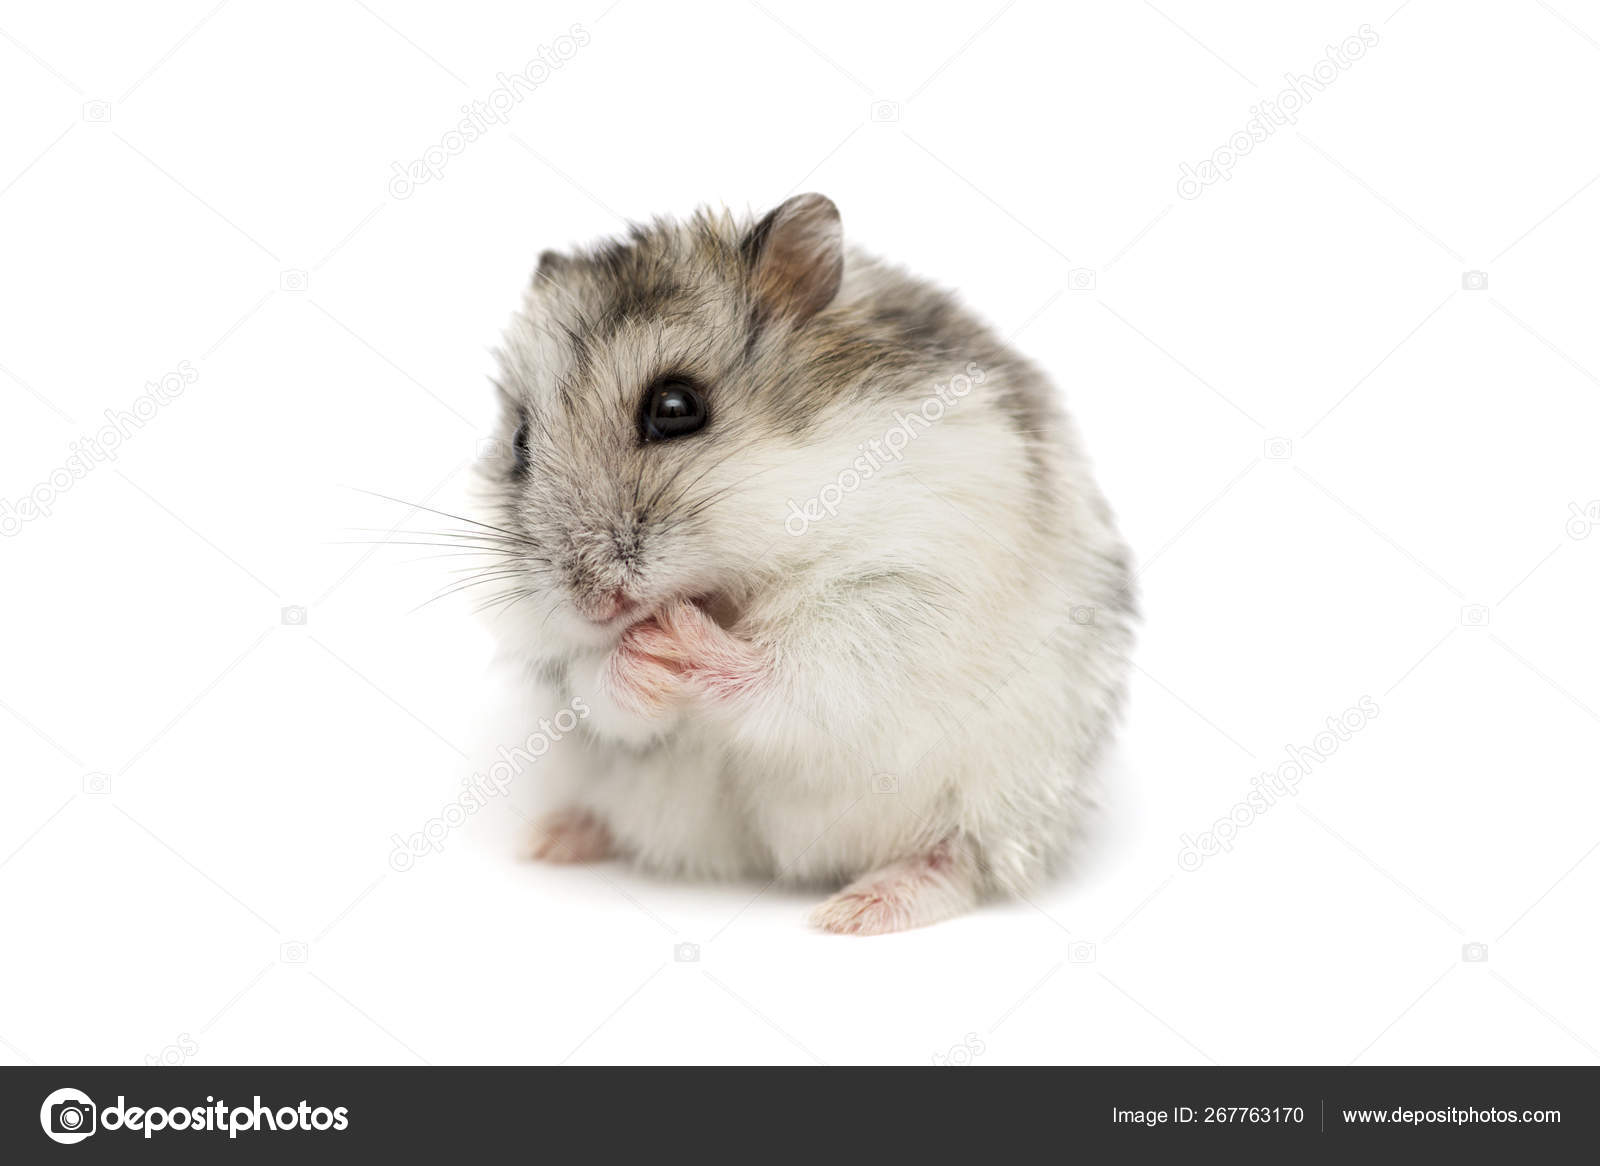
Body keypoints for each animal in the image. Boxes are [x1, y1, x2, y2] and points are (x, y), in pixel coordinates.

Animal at [474, 193, 1135, 934]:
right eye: (519, 445)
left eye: (675, 407)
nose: (595, 603)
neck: (735, 582)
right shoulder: (549, 656)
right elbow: (595, 684)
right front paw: (638, 654)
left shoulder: (902, 589)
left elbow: (799, 667)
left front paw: (679, 639)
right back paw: (550, 837)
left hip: (1012, 783)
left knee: (962, 859)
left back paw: (855, 911)